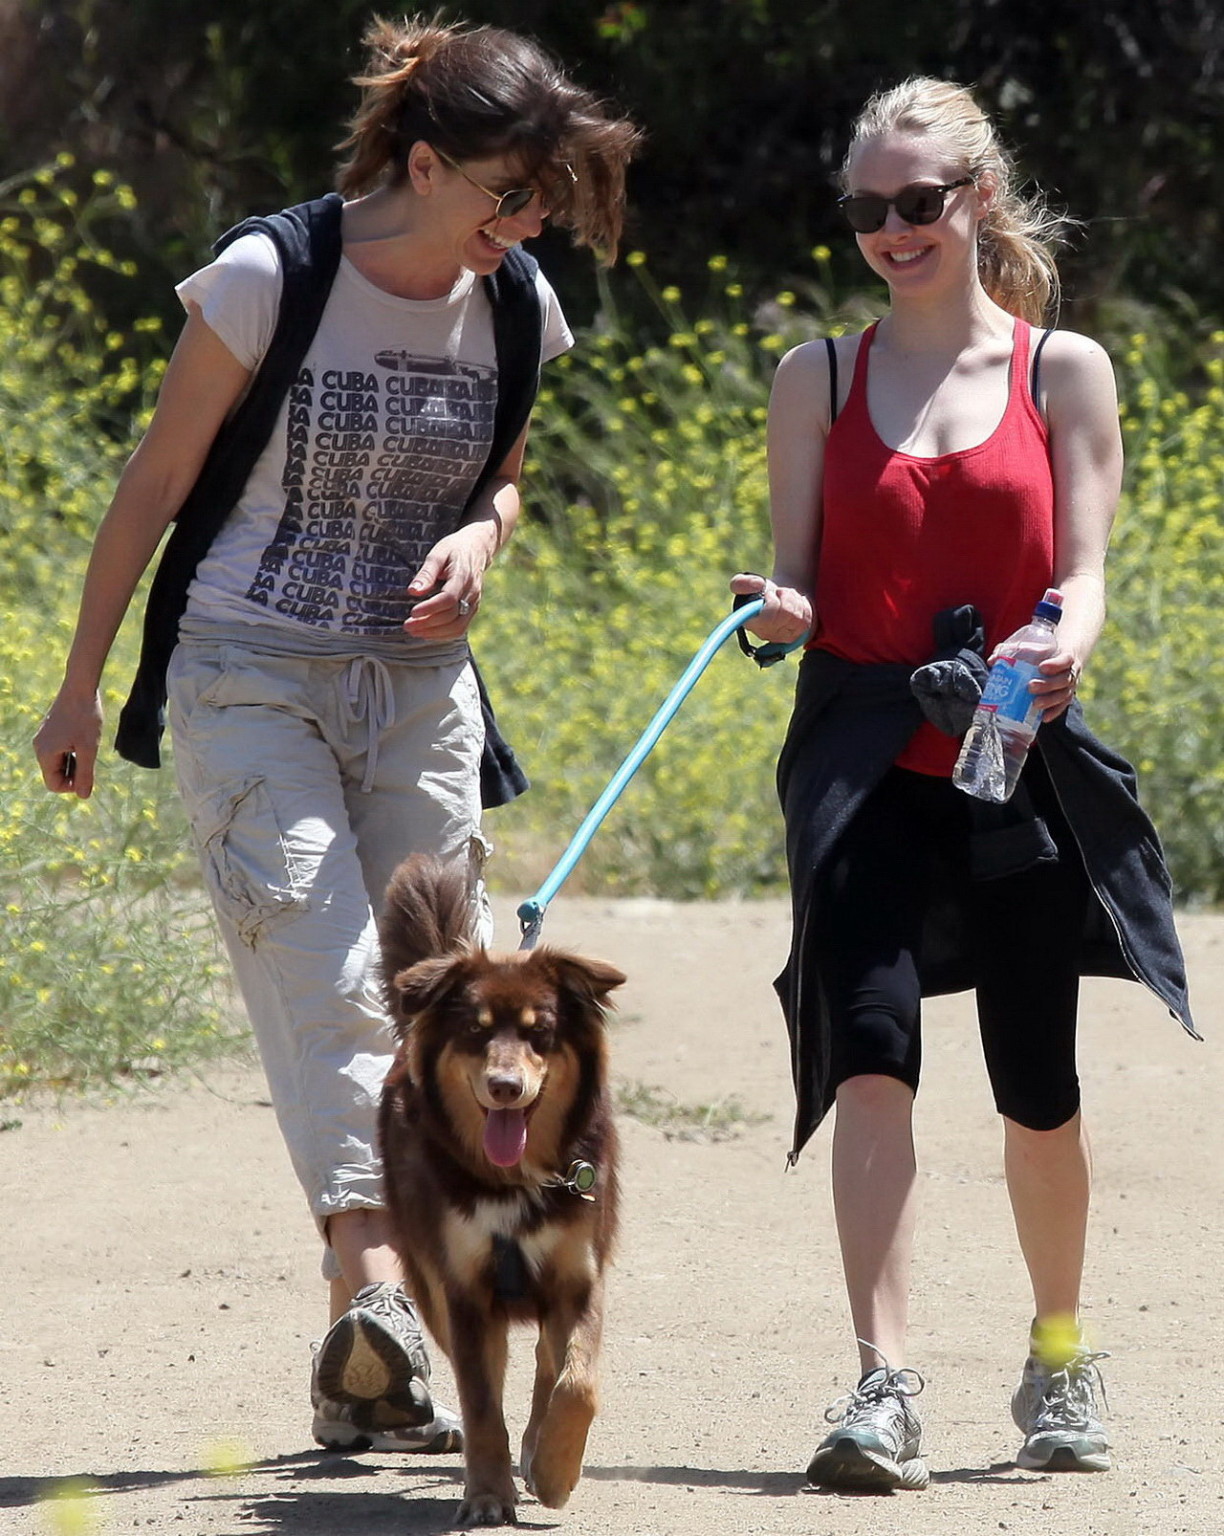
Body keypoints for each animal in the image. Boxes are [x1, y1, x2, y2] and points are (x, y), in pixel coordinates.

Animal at [377, 854, 626, 1523]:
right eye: (475, 1030)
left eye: (541, 1033)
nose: (505, 1087)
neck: (513, 1182)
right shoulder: (463, 1292)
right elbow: (482, 1405)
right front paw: (488, 1494)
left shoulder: (579, 1277)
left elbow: (577, 1383)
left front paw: (556, 1468)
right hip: (428, 1283)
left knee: (547, 1365)